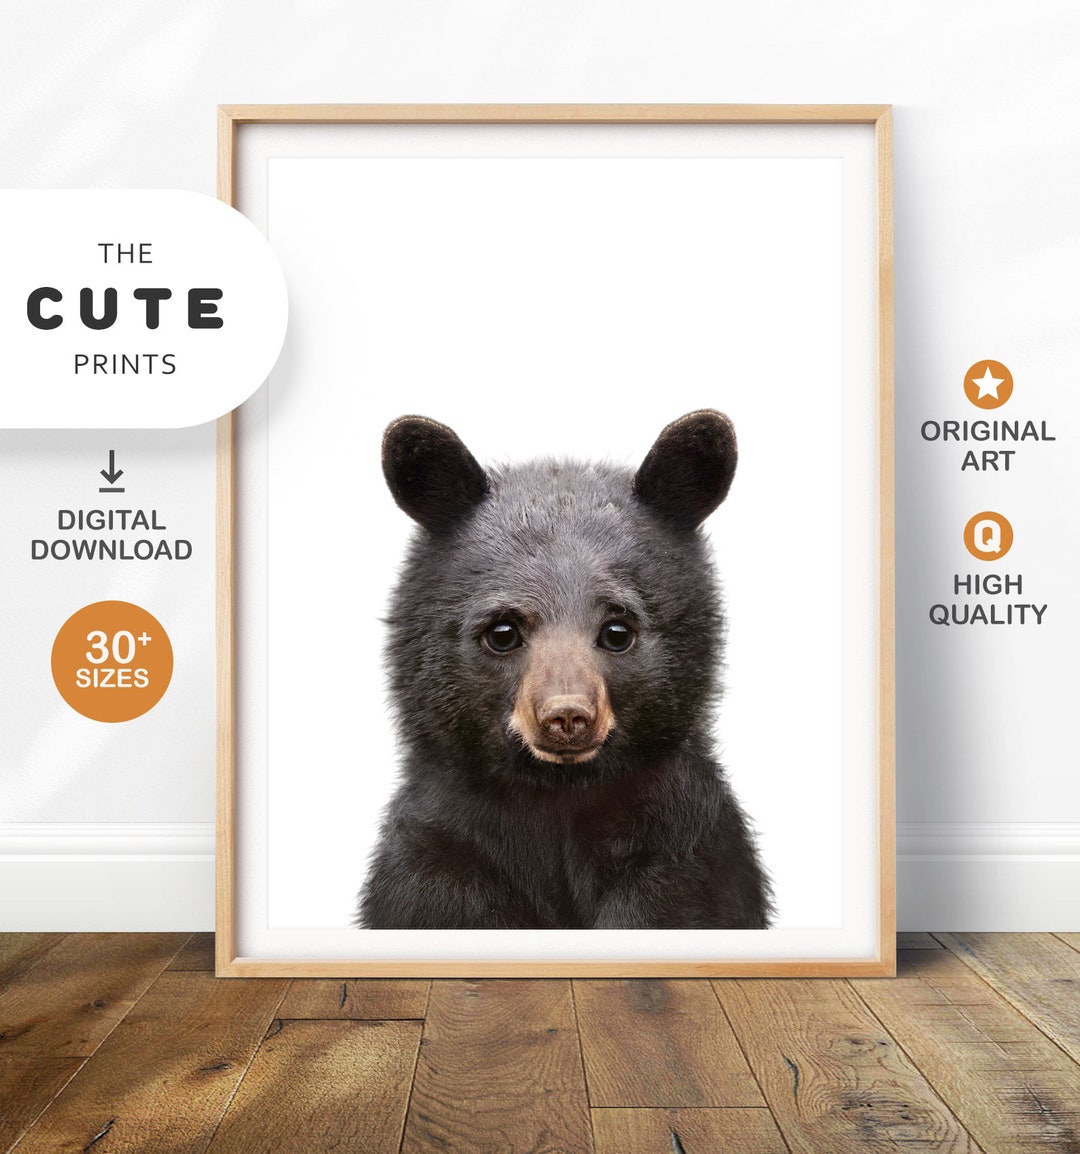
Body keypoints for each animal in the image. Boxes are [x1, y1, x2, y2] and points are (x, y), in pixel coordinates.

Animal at [355, 409, 773, 930]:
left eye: (618, 631)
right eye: (502, 631)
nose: (567, 716)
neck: (555, 797)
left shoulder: (682, 853)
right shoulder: (438, 863)